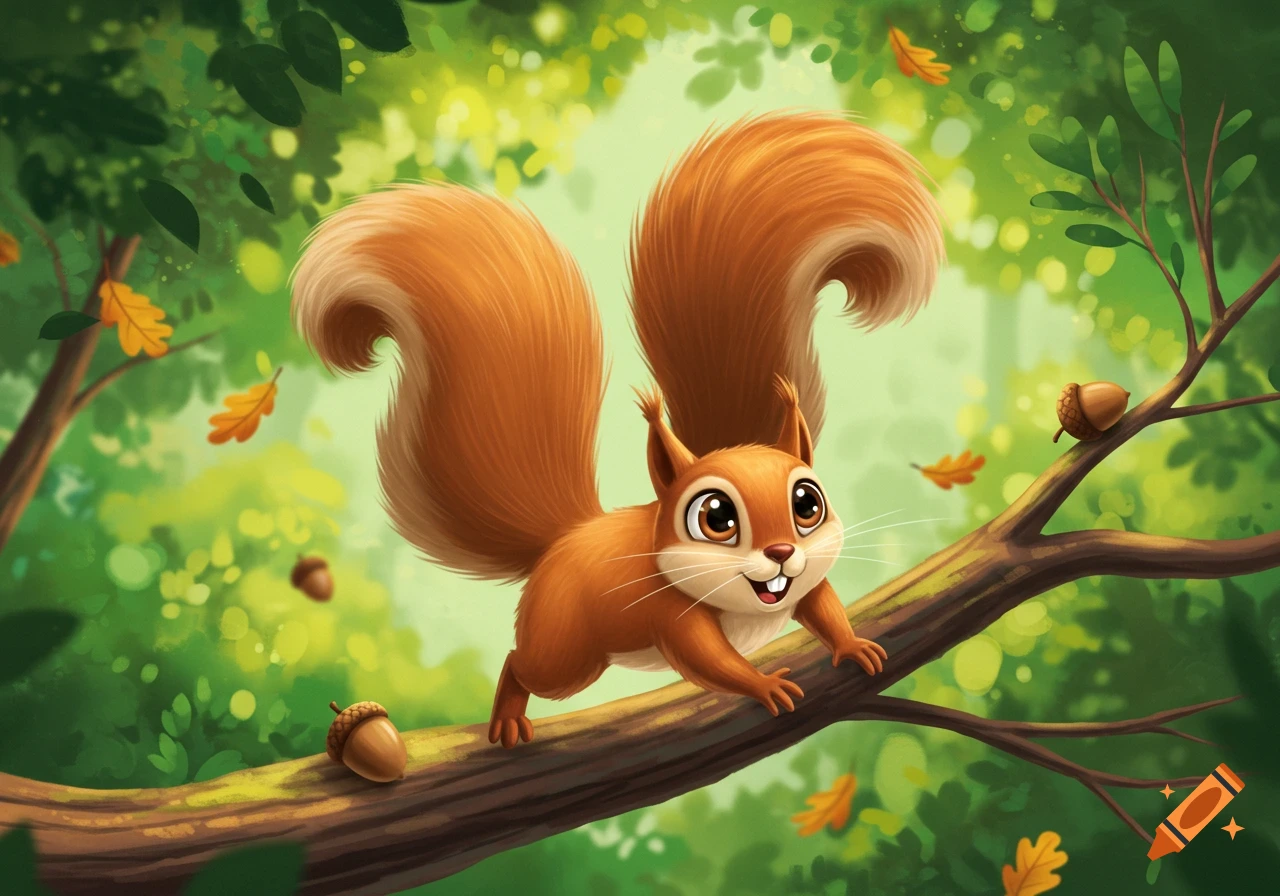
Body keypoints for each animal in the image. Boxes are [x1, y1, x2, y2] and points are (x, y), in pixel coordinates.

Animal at [290, 111, 944, 748]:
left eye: (807, 503)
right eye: (716, 517)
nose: (783, 552)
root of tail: (562, 540)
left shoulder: (804, 586)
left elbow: (825, 605)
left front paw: (852, 643)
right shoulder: (671, 618)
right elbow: (709, 663)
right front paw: (761, 684)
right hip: (567, 650)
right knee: (521, 663)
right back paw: (508, 717)